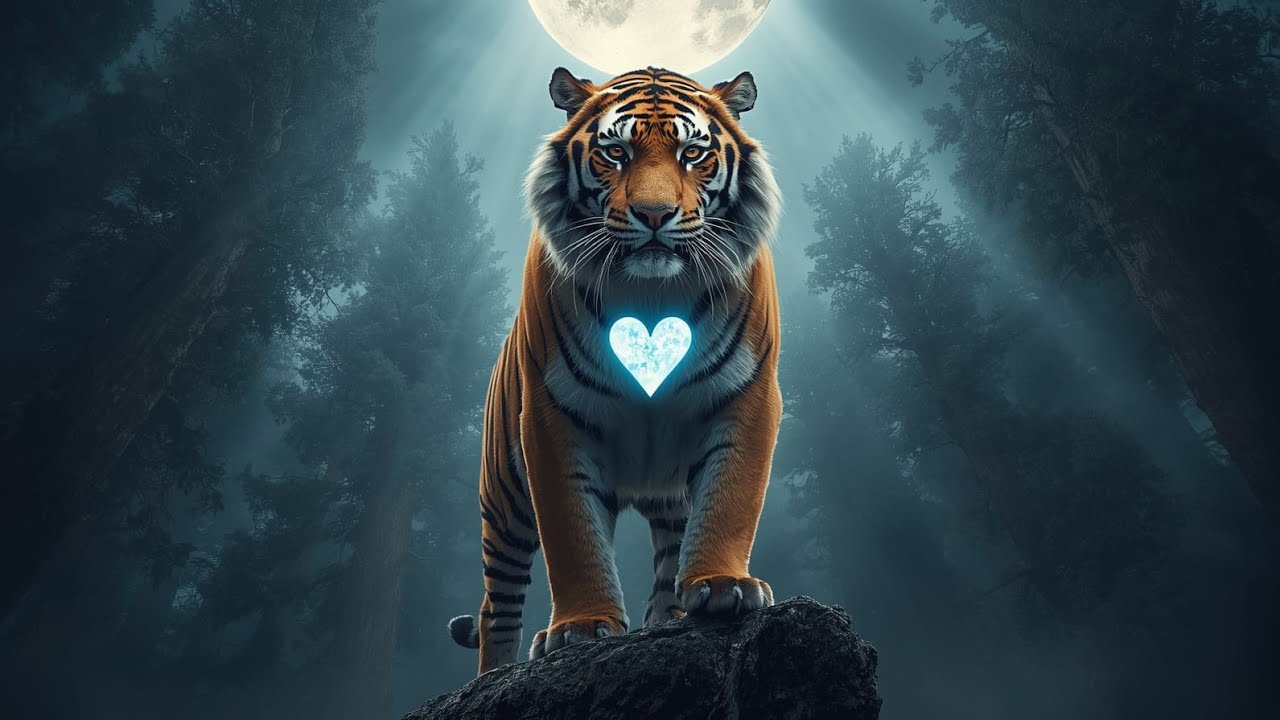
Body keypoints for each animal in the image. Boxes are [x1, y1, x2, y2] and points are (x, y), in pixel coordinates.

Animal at [448, 65, 784, 676]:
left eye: (693, 153)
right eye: (615, 153)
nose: (654, 215)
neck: (651, 295)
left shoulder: (748, 397)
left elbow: (733, 496)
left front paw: (724, 587)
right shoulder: (551, 416)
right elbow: (571, 533)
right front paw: (580, 628)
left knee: (669, 556)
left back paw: (671, 618)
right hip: (504, 497)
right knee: (495, 608)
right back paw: (496, 673)